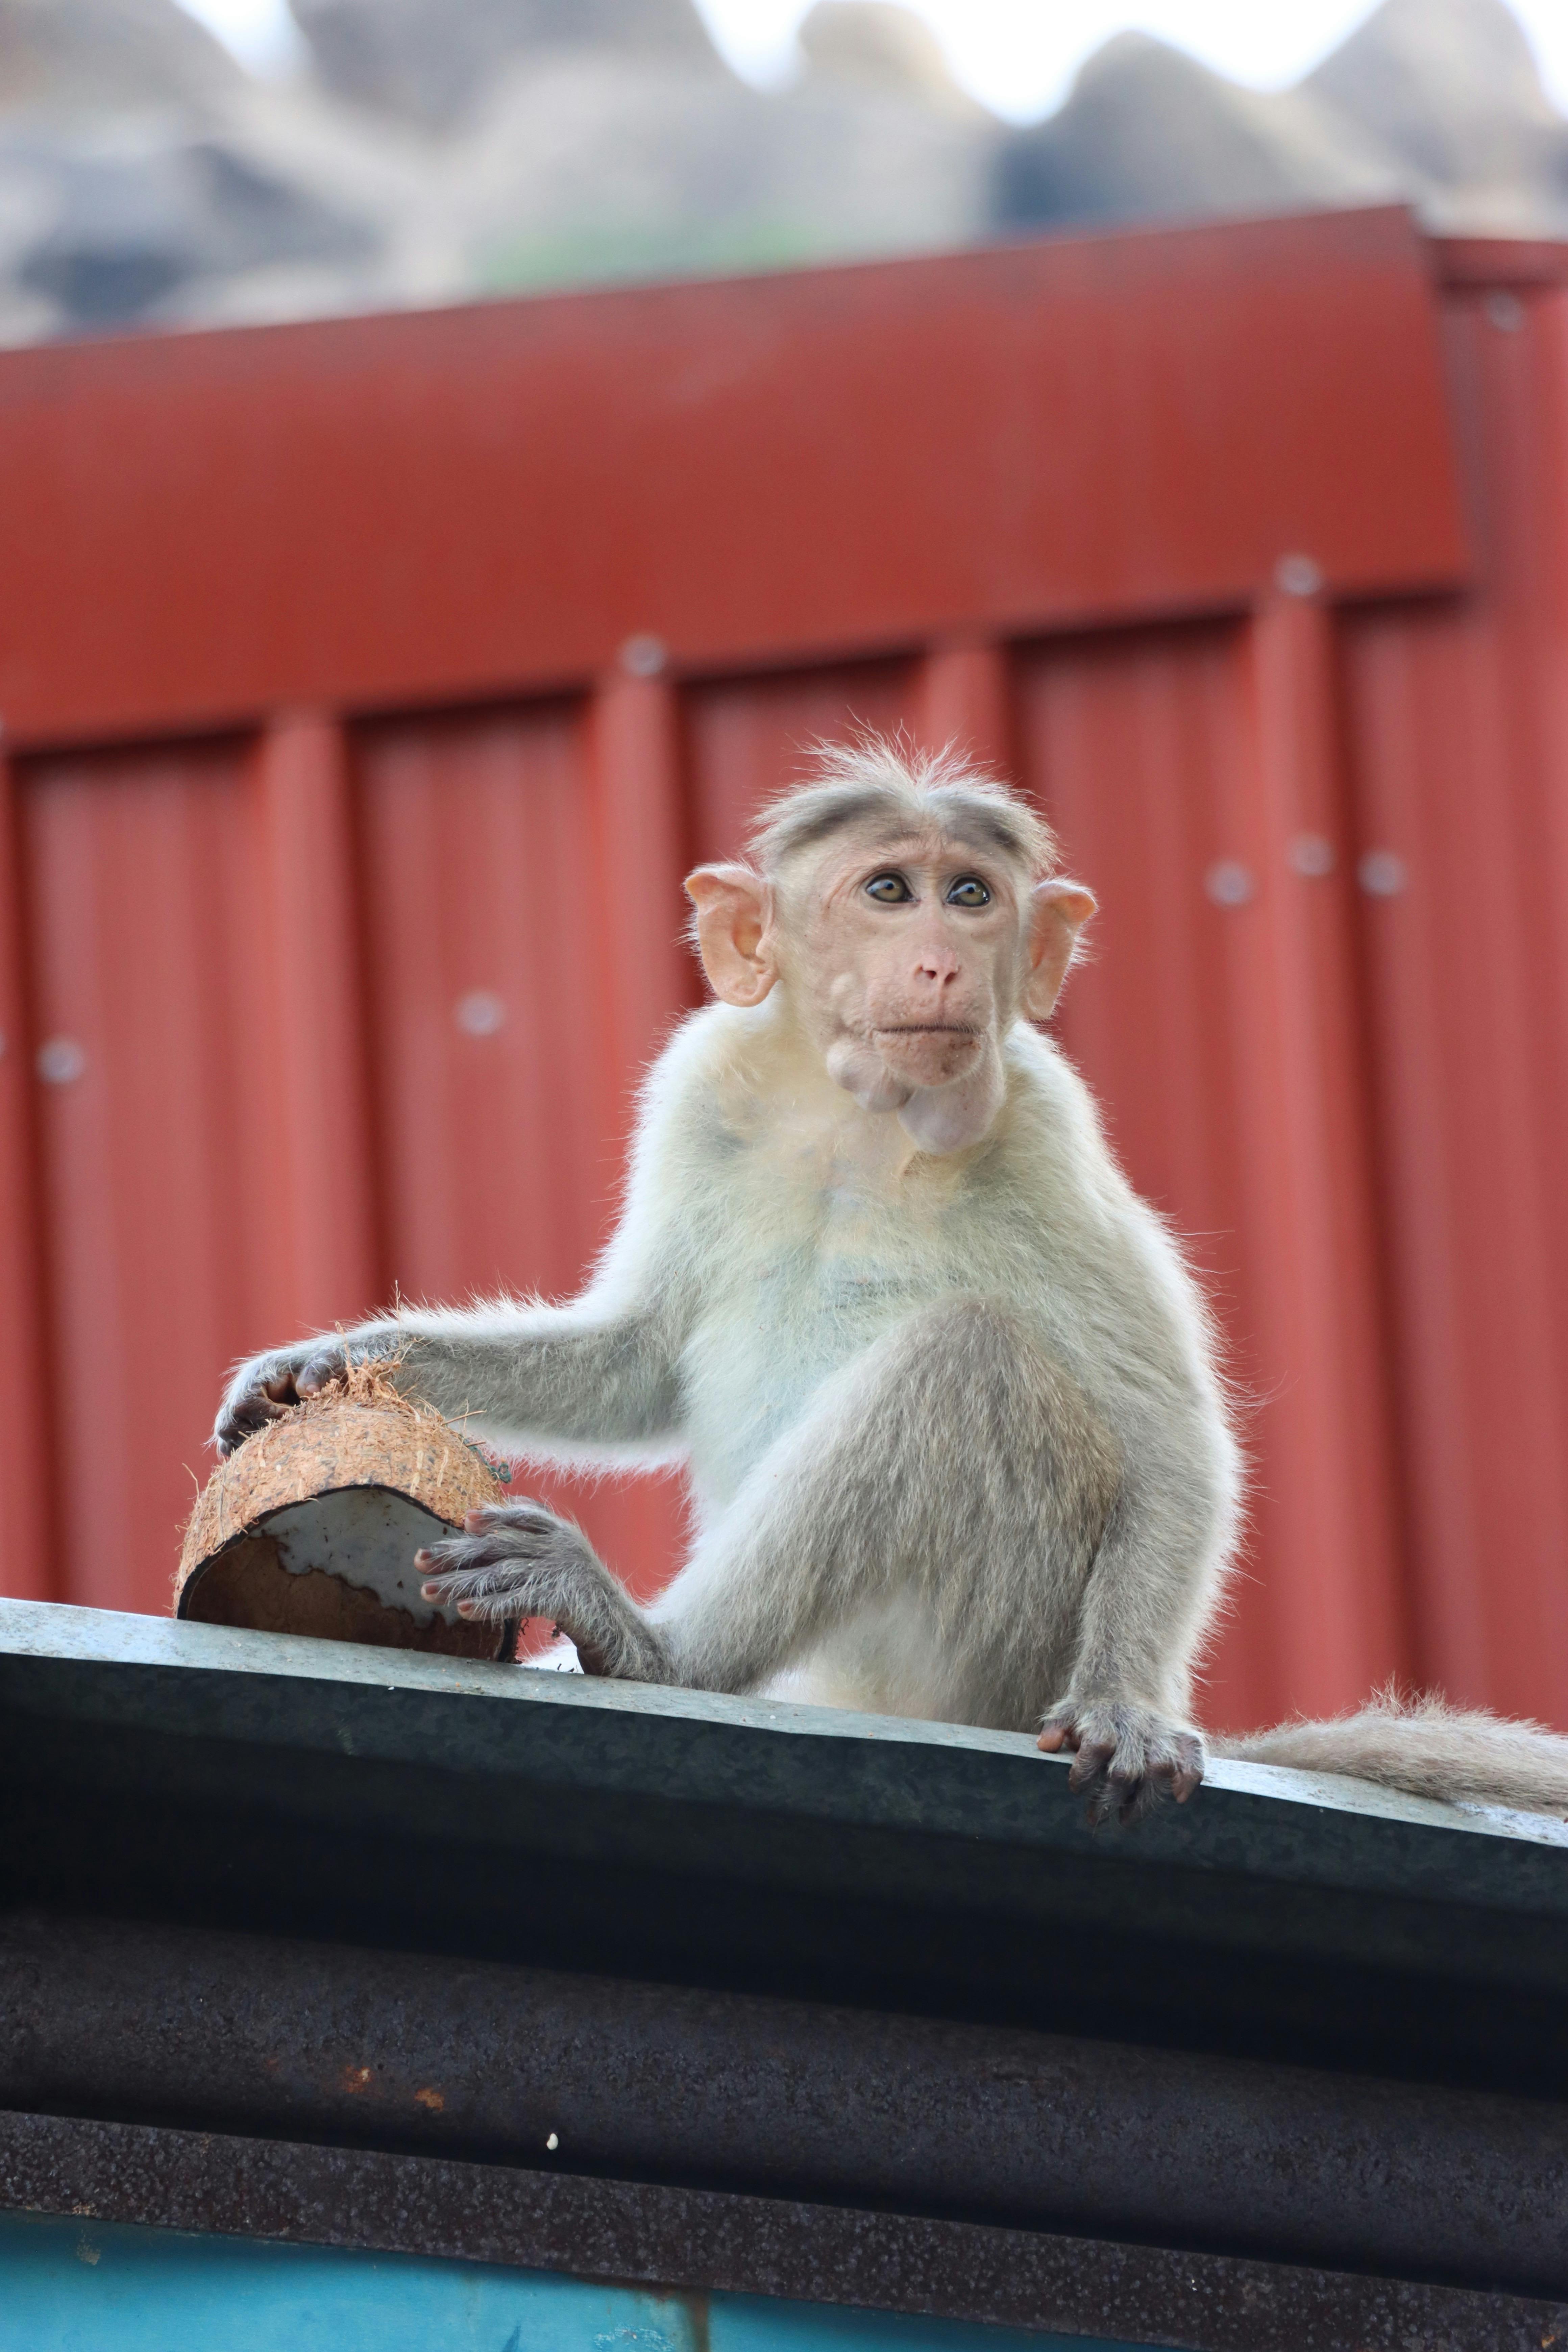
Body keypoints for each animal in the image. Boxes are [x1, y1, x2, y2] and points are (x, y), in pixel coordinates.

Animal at [217, 739, 1568, 1823]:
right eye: (887, 891)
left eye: (969, 895)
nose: (939, 960)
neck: (860, 1124)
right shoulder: (695, 1086)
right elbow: (638, 1354)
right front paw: (332, 1359)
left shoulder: (1048, 1129)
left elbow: (1166, 1437)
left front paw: (1127, 1702)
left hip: (979, 1660)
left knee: (968, 1357)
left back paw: (659, 1650)